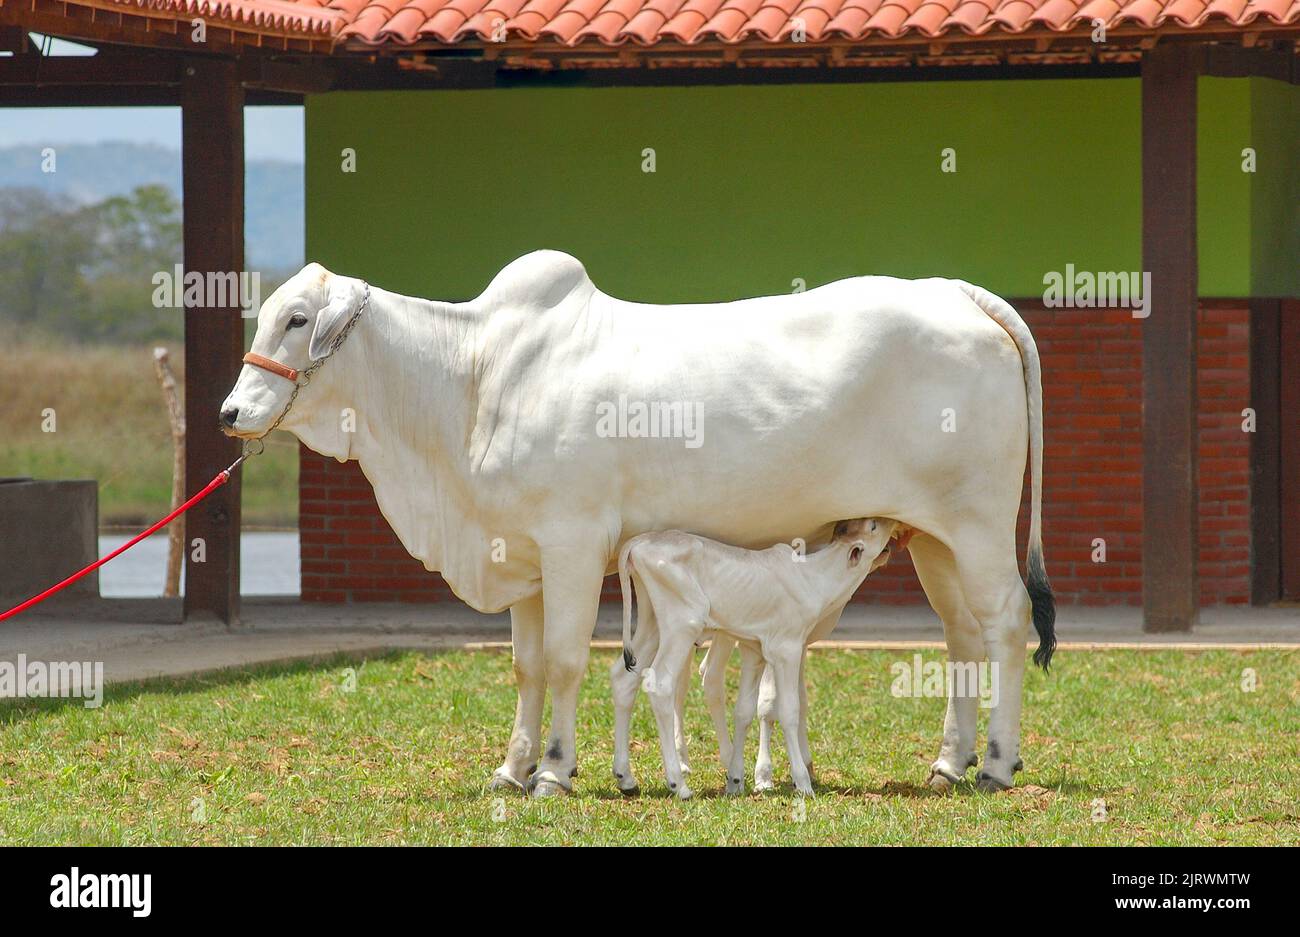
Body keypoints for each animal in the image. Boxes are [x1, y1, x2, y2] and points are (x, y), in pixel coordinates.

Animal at [219, 250, 1054, 797]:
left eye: (297, 317)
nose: (230, 412)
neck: (474, 378)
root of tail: (957, 293)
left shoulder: (571, 543)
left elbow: (564, 661)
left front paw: (555, 769)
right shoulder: (523, 554)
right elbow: (526, 666)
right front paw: (511, 766)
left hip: (978, 526)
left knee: (1008, 623)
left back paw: (997, 763)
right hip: (932, 537)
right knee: (961, 636)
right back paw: (949, 762)